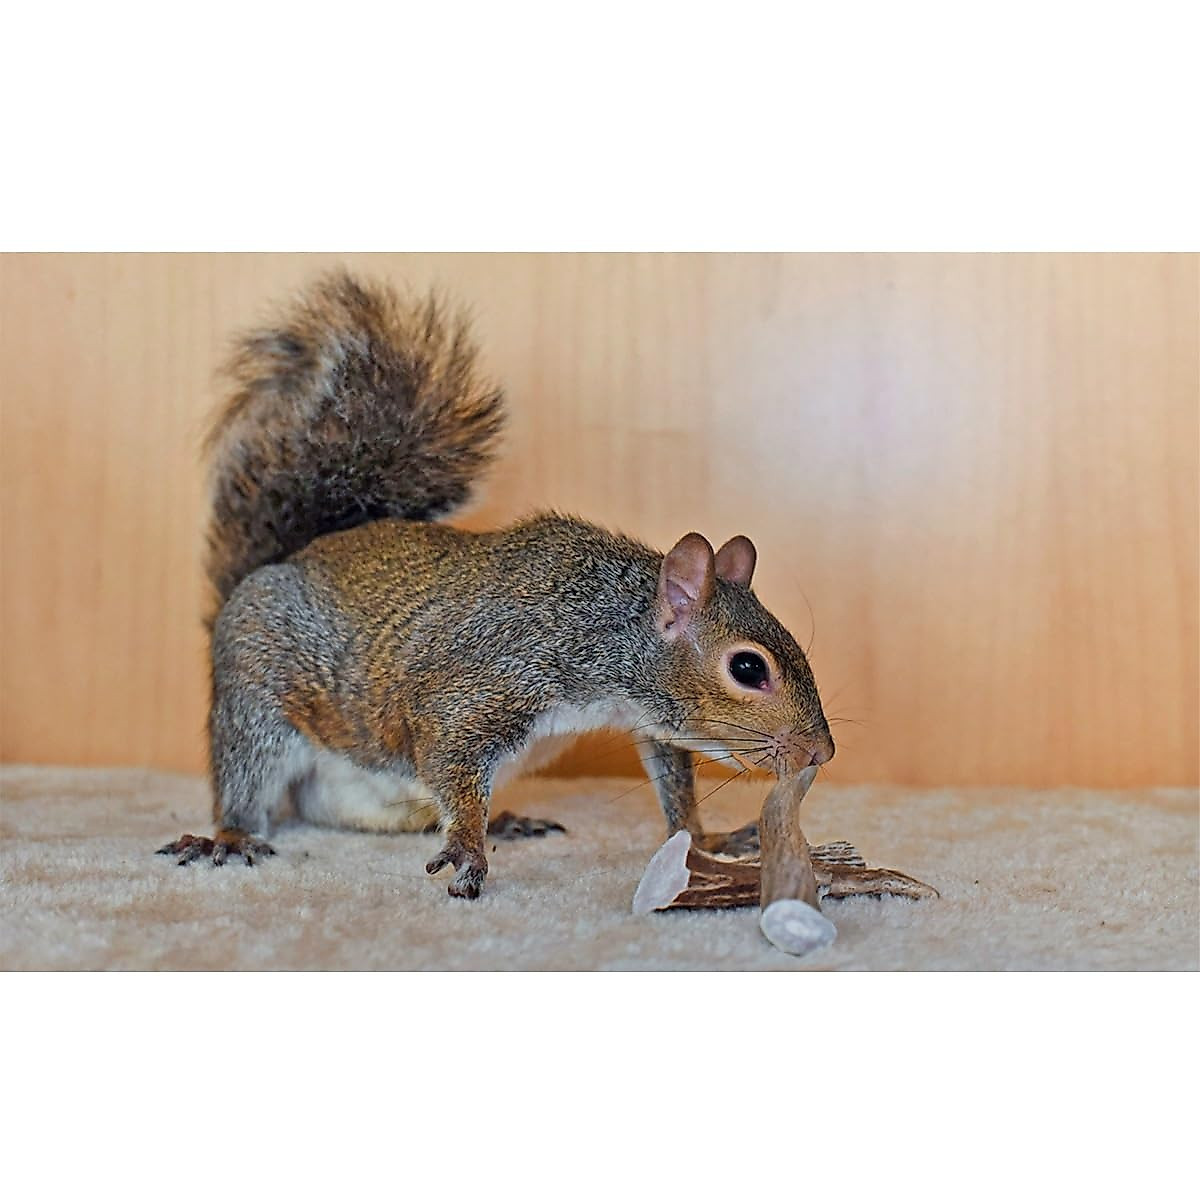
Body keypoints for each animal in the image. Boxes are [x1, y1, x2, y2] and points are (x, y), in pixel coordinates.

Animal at [159, 270, 835, 898]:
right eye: (748, 668)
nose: (819, 754)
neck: (605, 620)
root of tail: (265, 572)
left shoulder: (646, 721)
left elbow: (673, 782)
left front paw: (705, 838)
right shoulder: (496, 676)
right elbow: (448, 745)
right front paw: (466, 847)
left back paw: (504, 820)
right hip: (257, 704)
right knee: (247, 779)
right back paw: (231, 836)